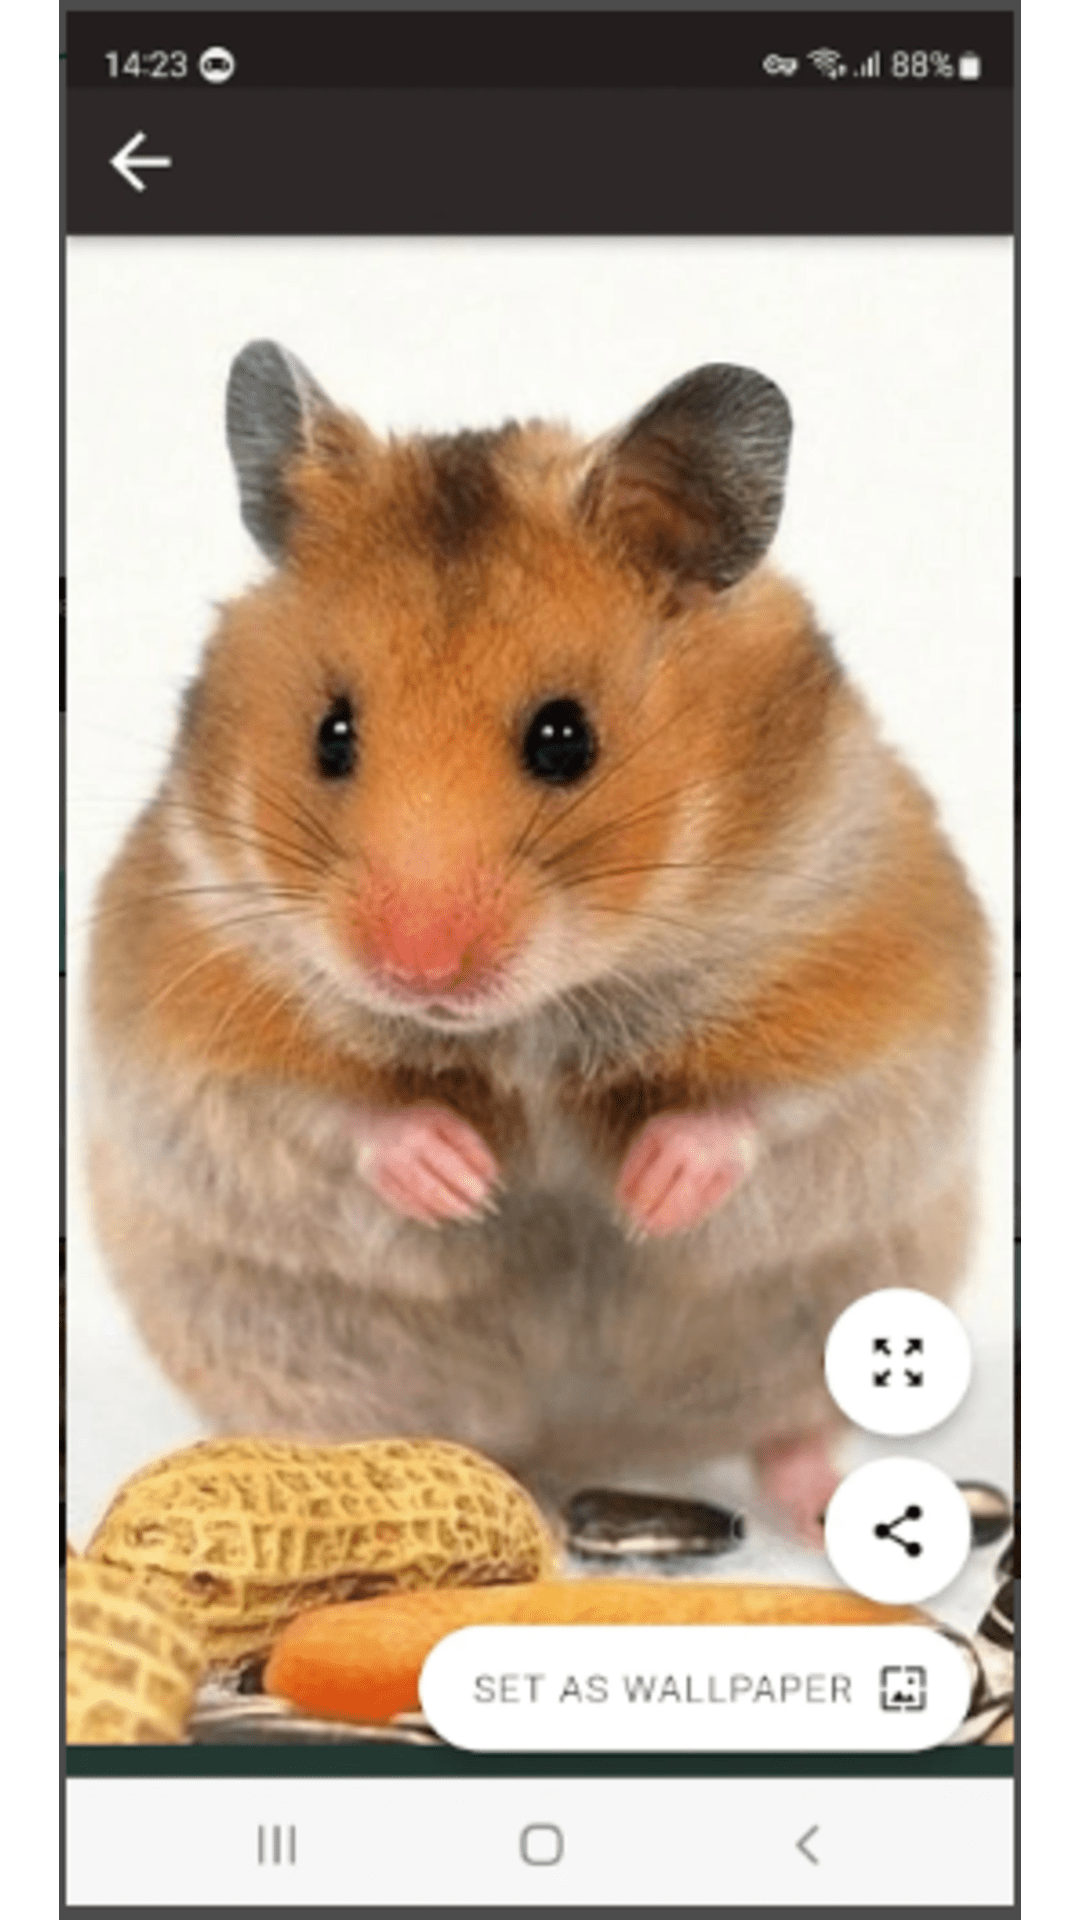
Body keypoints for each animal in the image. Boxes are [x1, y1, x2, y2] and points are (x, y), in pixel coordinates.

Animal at [85, 343, 989, 1539]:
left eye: (565, 738)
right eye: (332, 734)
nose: (415, 972)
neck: (537, 1017)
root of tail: (579, 1449)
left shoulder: (882, 995)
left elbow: (771, 1107)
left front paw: (644, 1198)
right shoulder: (190, 1026)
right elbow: (323, 1109)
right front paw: (465, 1182)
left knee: (787, 1432)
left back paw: (823, 1507)